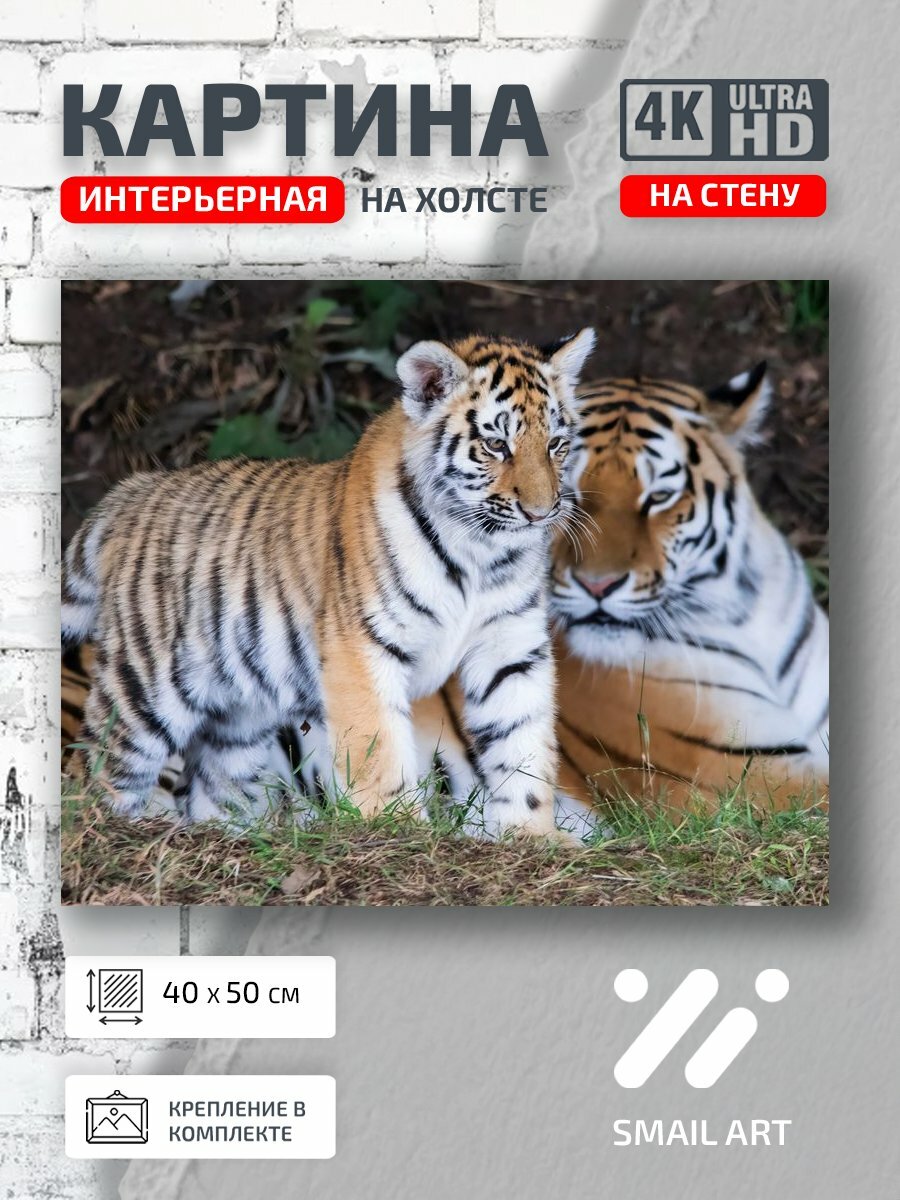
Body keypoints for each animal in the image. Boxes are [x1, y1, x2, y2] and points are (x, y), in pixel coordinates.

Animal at [61, 328, 597, 837]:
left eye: (555, 444)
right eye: (495, 445)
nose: (542, 512)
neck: (482, 551)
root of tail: (132, 489)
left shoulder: (512, 647)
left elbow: (521, 744)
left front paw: (531, 835)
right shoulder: (362, 644)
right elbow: (379, 746)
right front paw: (397, 827)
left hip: (239, 715)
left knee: (215, 787)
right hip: (144, 690)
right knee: (96, 769)